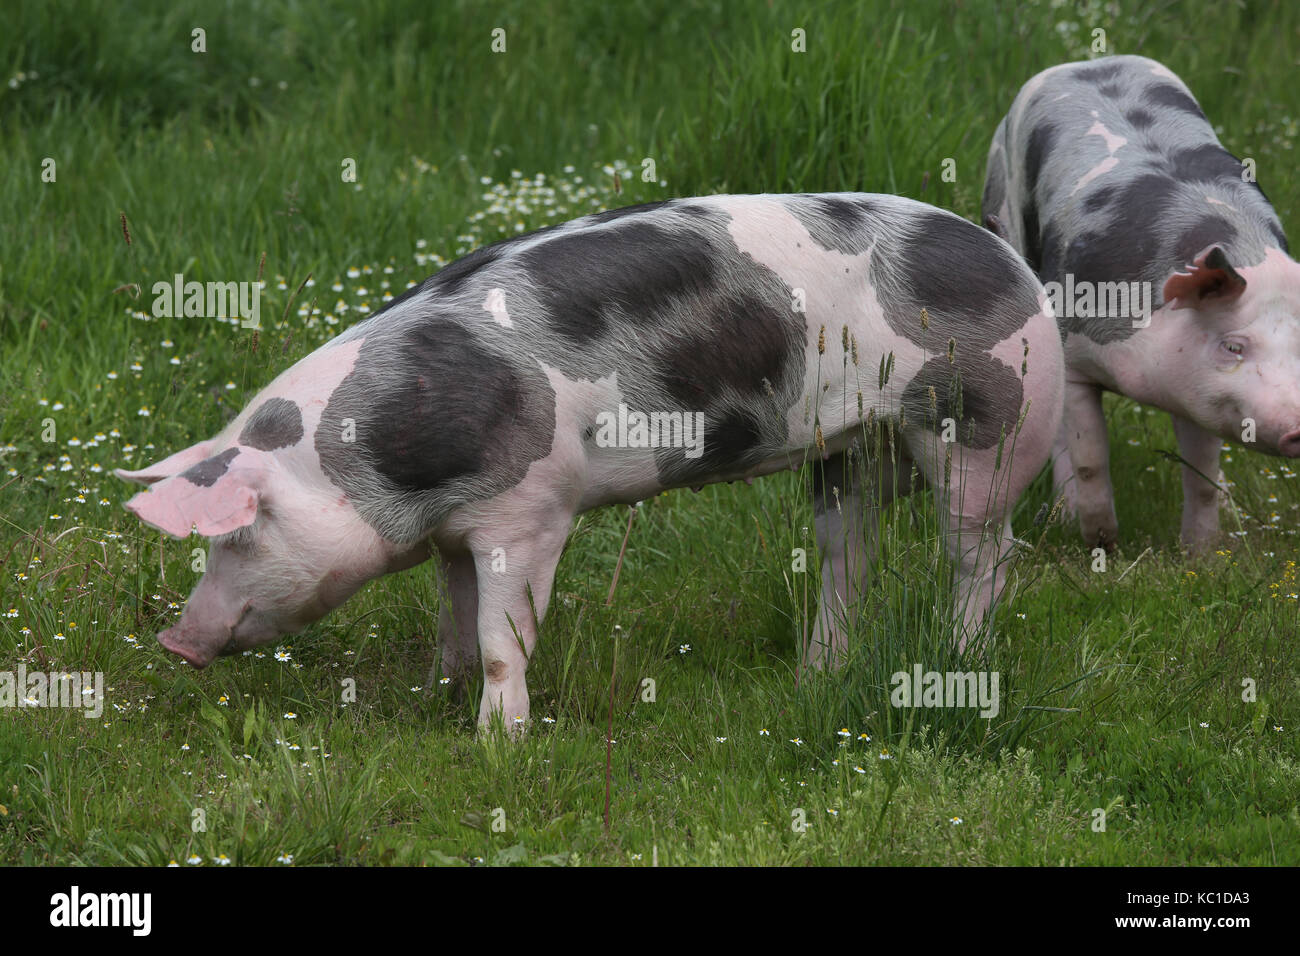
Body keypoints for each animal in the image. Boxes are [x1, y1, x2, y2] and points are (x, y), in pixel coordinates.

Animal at [118, 193, 1063, 728]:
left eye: (237, 535)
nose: (174, 640)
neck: (383, 466)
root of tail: (1015, 265)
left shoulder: (533, 510)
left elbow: (505, 634)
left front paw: (497, 745)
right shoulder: (459, 529)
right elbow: (454, 616)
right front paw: (435, 702)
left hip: (989, 416)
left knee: (984, 552)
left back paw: (963, 660)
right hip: (851, 450)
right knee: (847, 556)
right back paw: (814, 678)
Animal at [983, 55, 1300, 552]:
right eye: (1233, 346)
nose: (1298, 426)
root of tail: (1089, 63)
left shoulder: (1199, 388)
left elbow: (1201, 473)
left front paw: (1202, 554)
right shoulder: (1075, 354)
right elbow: (1089, 455)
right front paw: (1102, 543)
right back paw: (1062, 515)